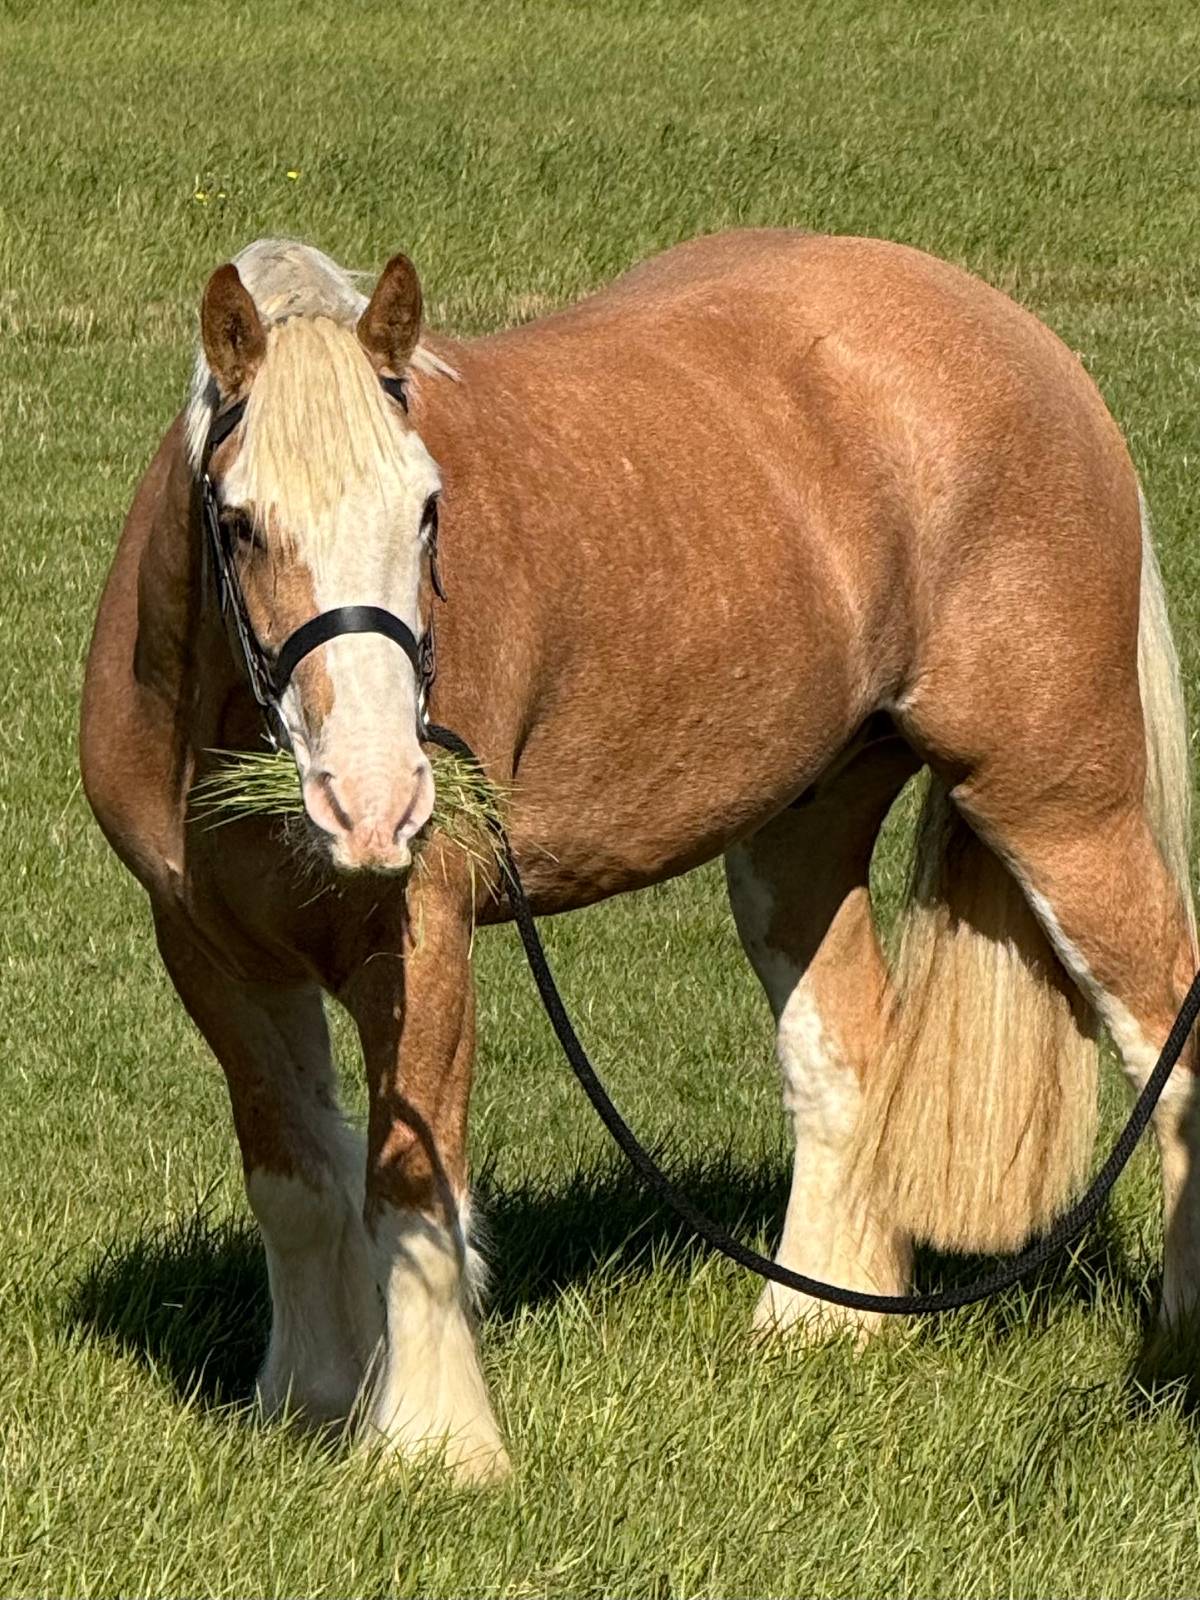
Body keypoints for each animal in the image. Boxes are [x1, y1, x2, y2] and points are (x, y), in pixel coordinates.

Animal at [81, 230, 1200, 1482]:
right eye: (239, 522)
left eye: (427, 512)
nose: (377, 799)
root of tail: (1025, 342)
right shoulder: (215, 954)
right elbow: (294, 1179)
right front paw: (310, 1403)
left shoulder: (420, 936)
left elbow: (411, 1185)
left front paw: (436, 1448)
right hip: (800, 830)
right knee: (842, 1046)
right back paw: (819, 1323)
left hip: (1058, 800)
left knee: (1168, 1035)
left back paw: (1176, 1344)